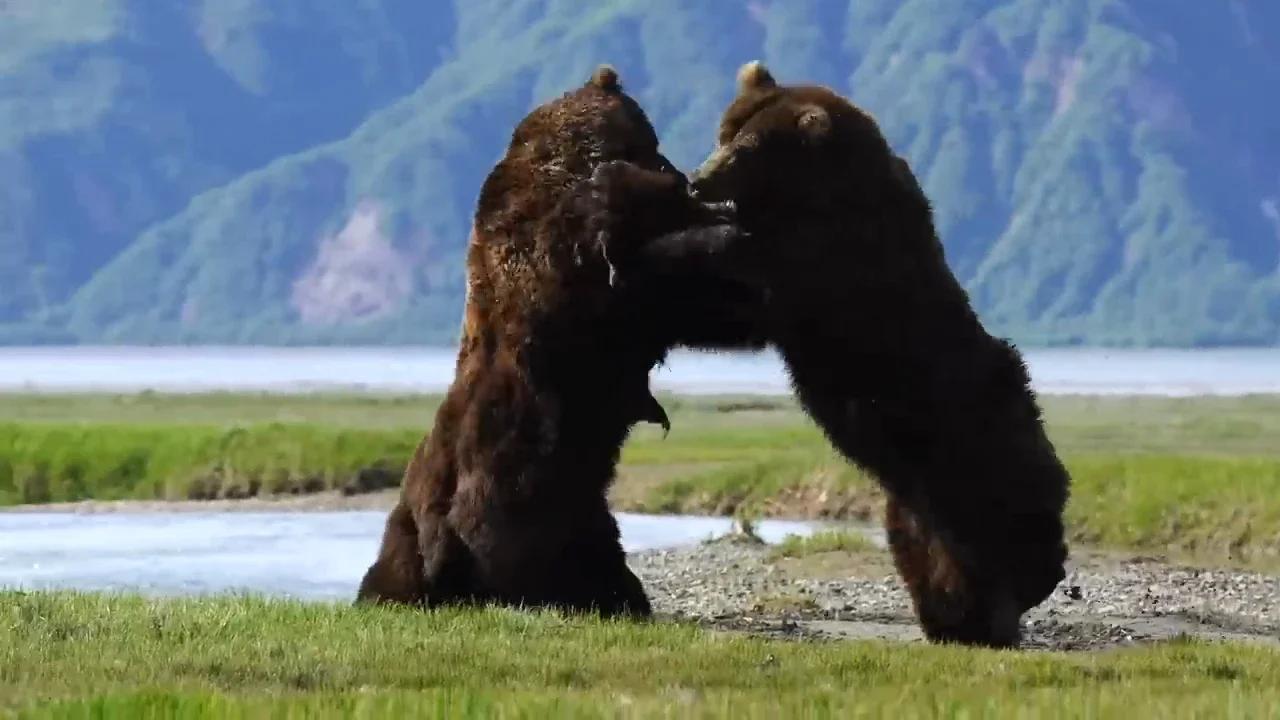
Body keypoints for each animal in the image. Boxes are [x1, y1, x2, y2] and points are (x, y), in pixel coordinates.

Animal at [354, 66, 767, 617]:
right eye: (653, 137)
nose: (688, 178)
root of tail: (443, 539)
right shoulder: (586, 269)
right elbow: (677, 282)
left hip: (422, 526)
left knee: (392, 570)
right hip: (534, 506)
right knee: (577, 567)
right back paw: (614, 599)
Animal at [598, 62, 1070, 647]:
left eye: (745, 146)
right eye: (724, 131)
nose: (698, 177)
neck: (818, 187)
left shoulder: (823, 253)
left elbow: (724, 270)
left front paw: (623, 230)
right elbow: (726, 305)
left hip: (979, 446)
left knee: (1023, 515)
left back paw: (1033, 577)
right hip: (916, 503)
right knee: (937, 557)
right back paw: (965, 622)